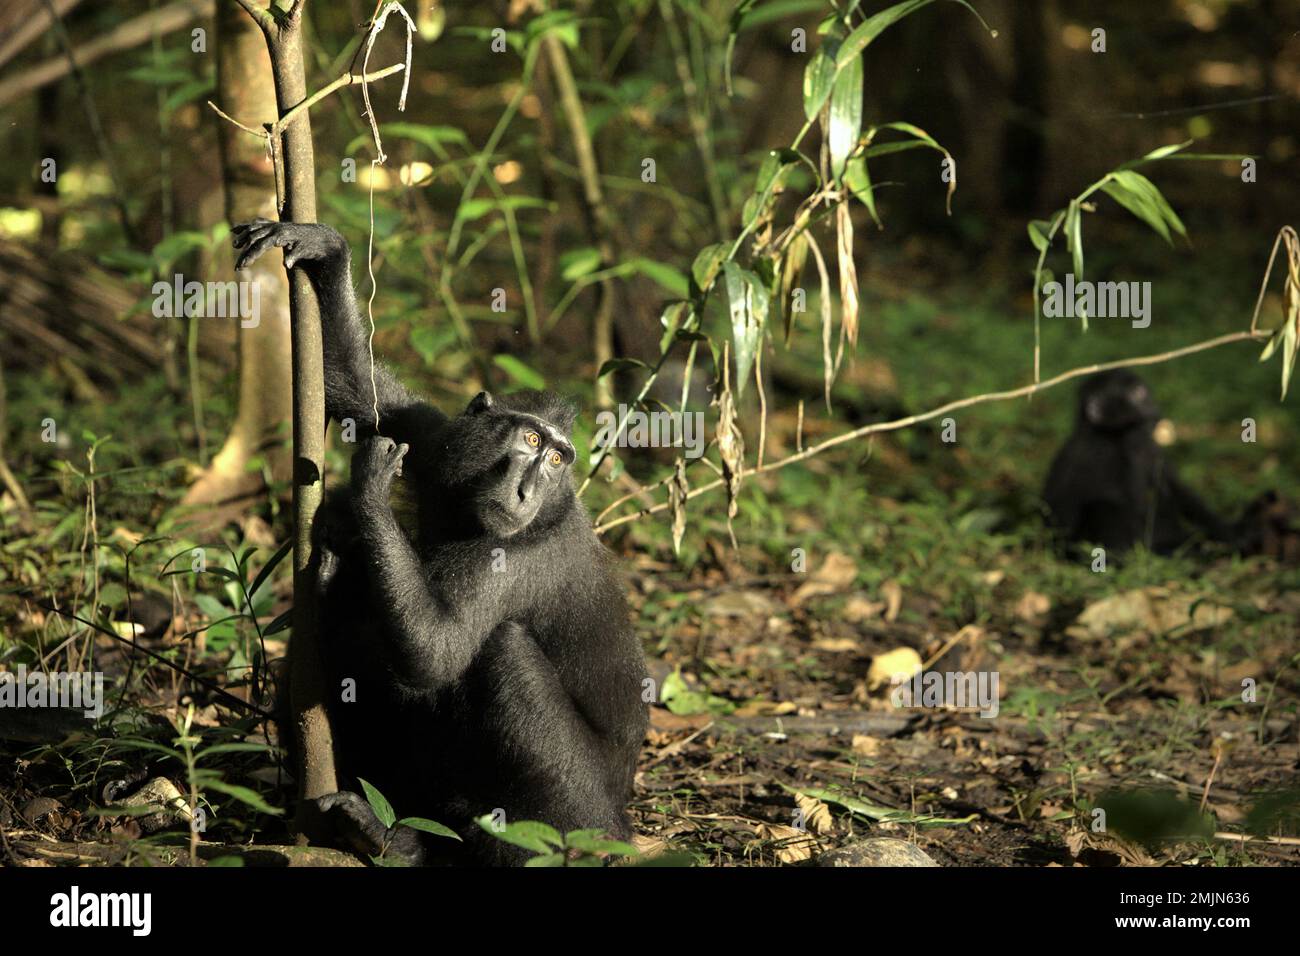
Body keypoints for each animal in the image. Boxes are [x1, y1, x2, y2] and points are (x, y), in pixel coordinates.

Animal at [231, 219, 648, 865]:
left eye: (558, 459)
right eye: (531, 440)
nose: (527, 489)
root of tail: (624, 820)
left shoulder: (520, 559)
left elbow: (434, 651)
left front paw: (367, 494)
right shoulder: (438, 439)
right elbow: (361, 396)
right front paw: (324, 248)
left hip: (584, 809)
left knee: (502, 653)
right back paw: (391, 835)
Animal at [1043, 369, 1234, 556]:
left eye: (1140, 390)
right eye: (1135, 394)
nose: (1151, 406)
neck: (1119, 437)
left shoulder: (1151, 449)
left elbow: (1176, 488)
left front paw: (1226, 532)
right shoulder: (1099, 452)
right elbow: (1133, 504)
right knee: (1104, 507)